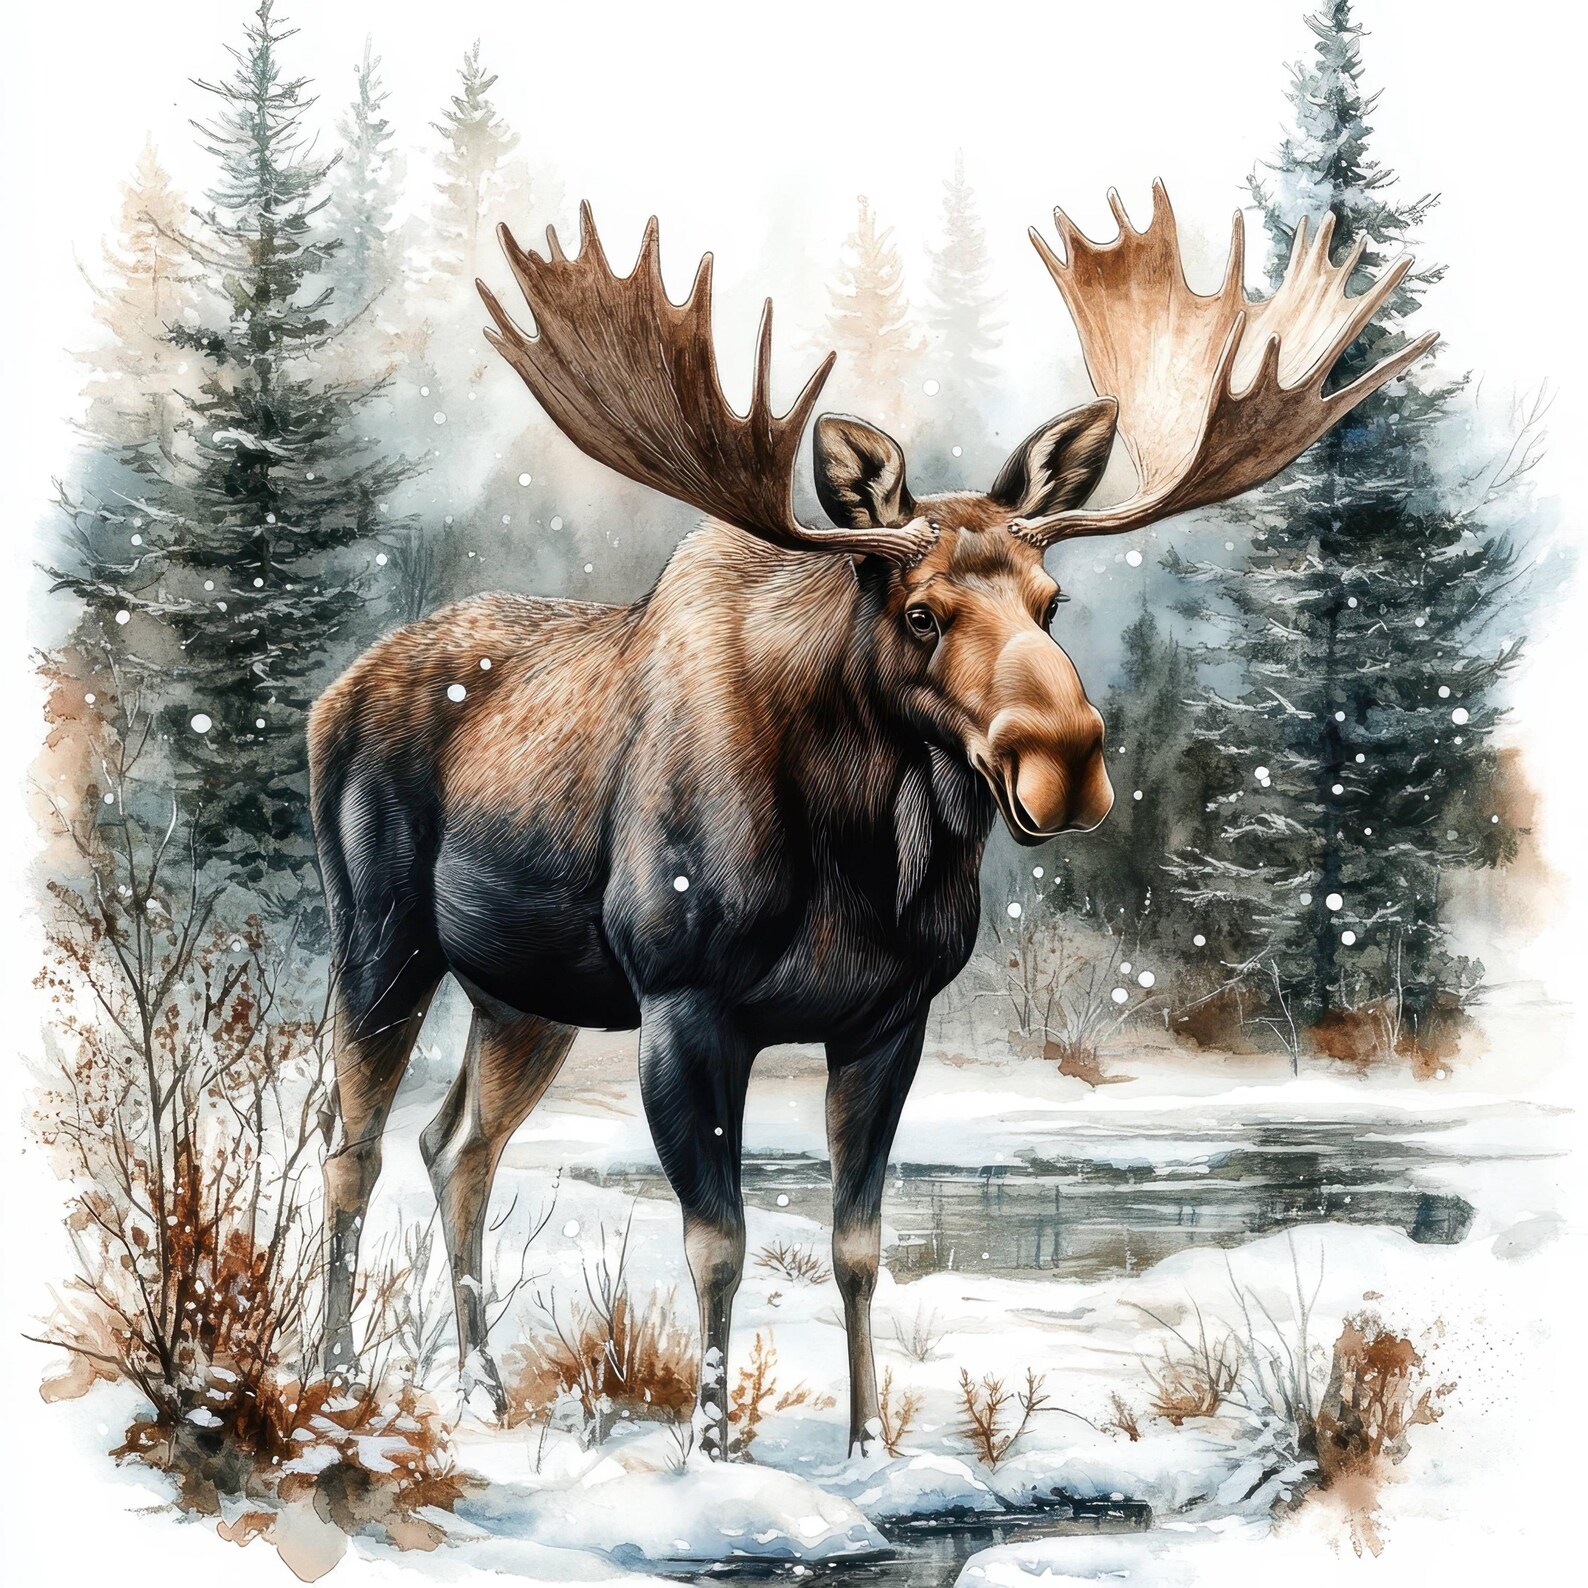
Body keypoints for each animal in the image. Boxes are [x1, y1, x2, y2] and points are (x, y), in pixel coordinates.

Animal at [308, 181, 1430, 1458]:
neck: (856, 855)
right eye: (922, 610)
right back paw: (337, 1378)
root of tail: (332, 694)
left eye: (1053, 601)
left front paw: (858, 1446)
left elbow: (856, 1247)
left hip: (524, 995)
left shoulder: (890, 1017)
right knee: (353, 1149)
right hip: (380, 936)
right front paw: (712, 1449)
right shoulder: (684, 1004)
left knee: (458, 1148)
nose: (1064, 760)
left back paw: (482, 1386)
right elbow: (719, 1243)